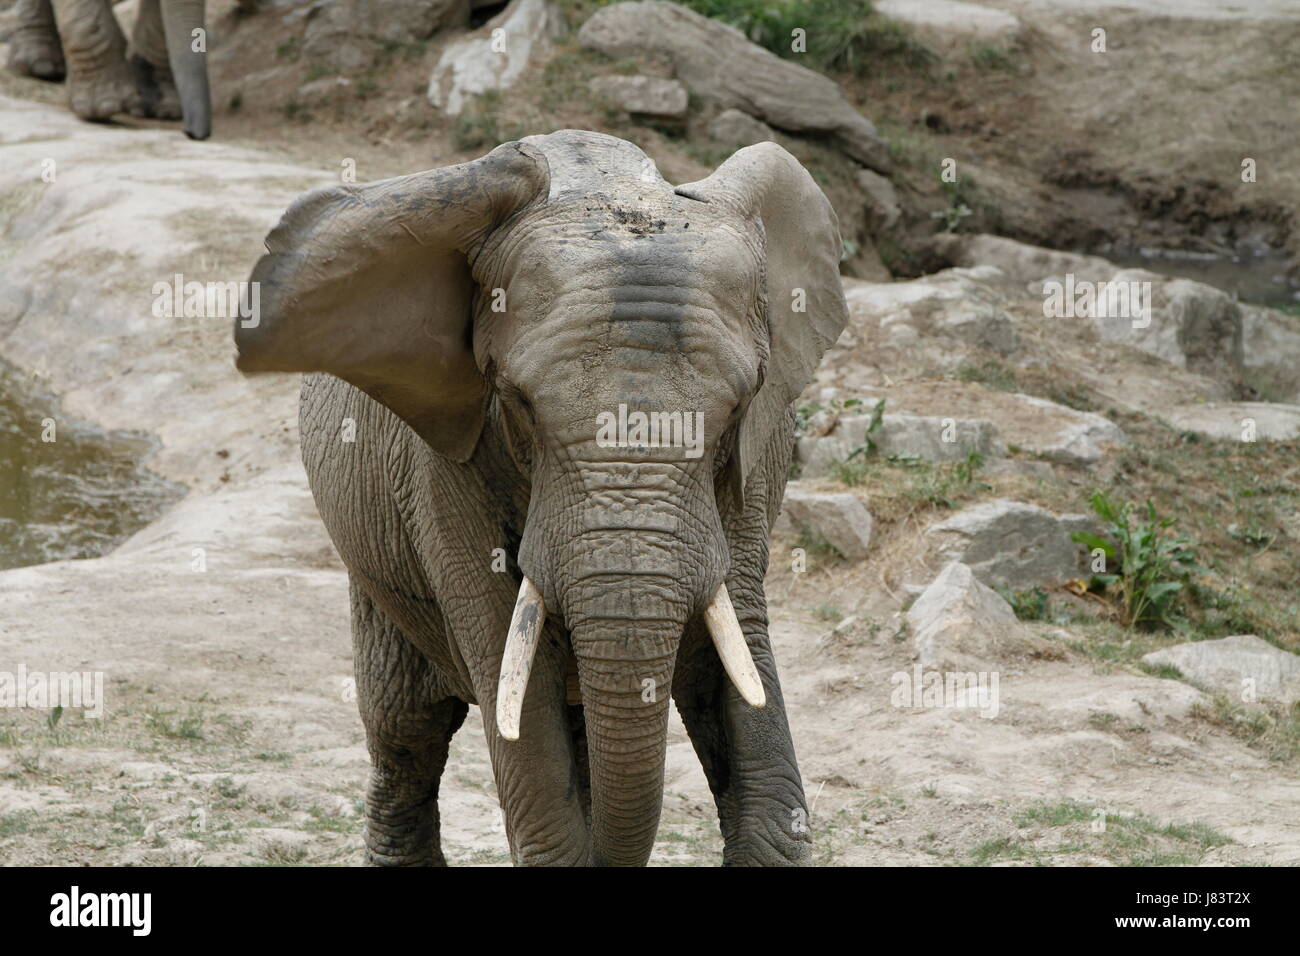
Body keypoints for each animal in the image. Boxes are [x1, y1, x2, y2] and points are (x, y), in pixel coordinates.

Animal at [233, 129, 848, 866]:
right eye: (520, 403)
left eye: (738, 407)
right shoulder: (441, 467)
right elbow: (512, 676)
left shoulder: (757, 463)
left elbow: (735, 657)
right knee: (405, 727)